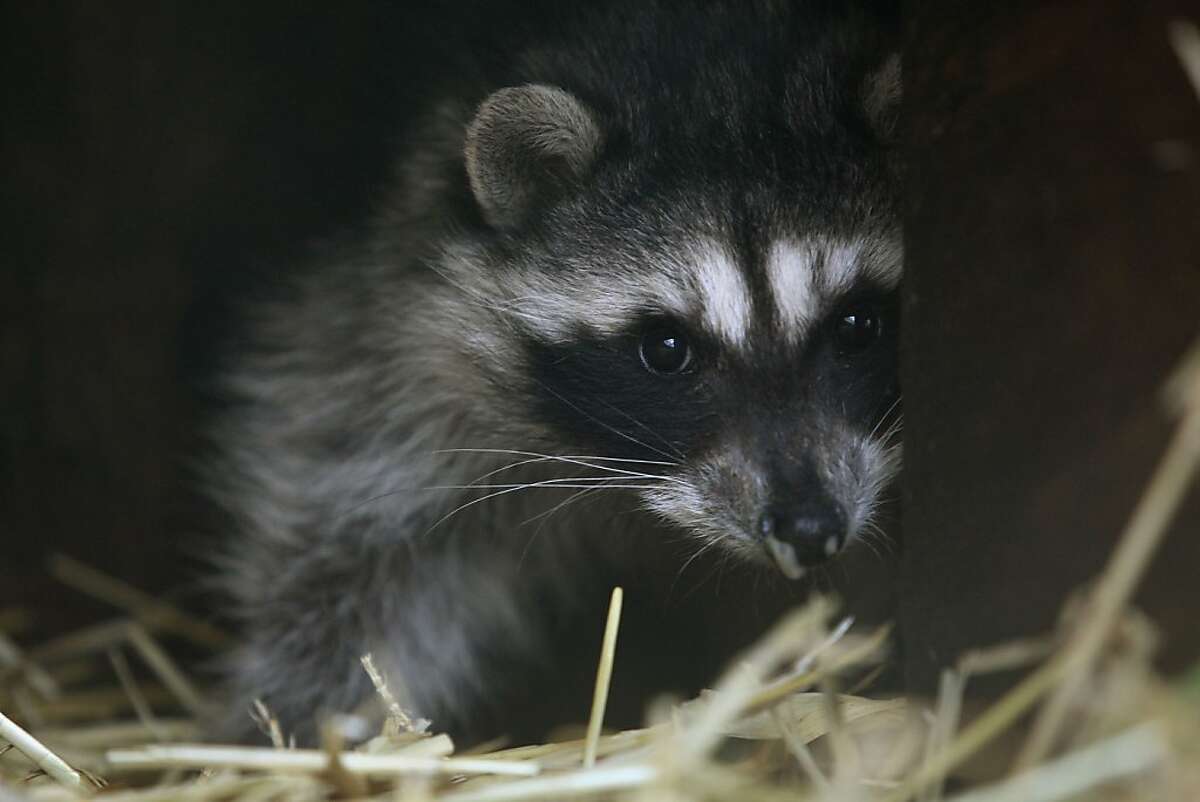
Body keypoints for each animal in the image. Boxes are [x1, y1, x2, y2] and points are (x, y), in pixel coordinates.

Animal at [206, 0, 903, 745]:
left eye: (858, 324)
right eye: (666, 348)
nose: (809, 527)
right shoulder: (378, 339)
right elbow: (346, 563)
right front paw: (297, 722)